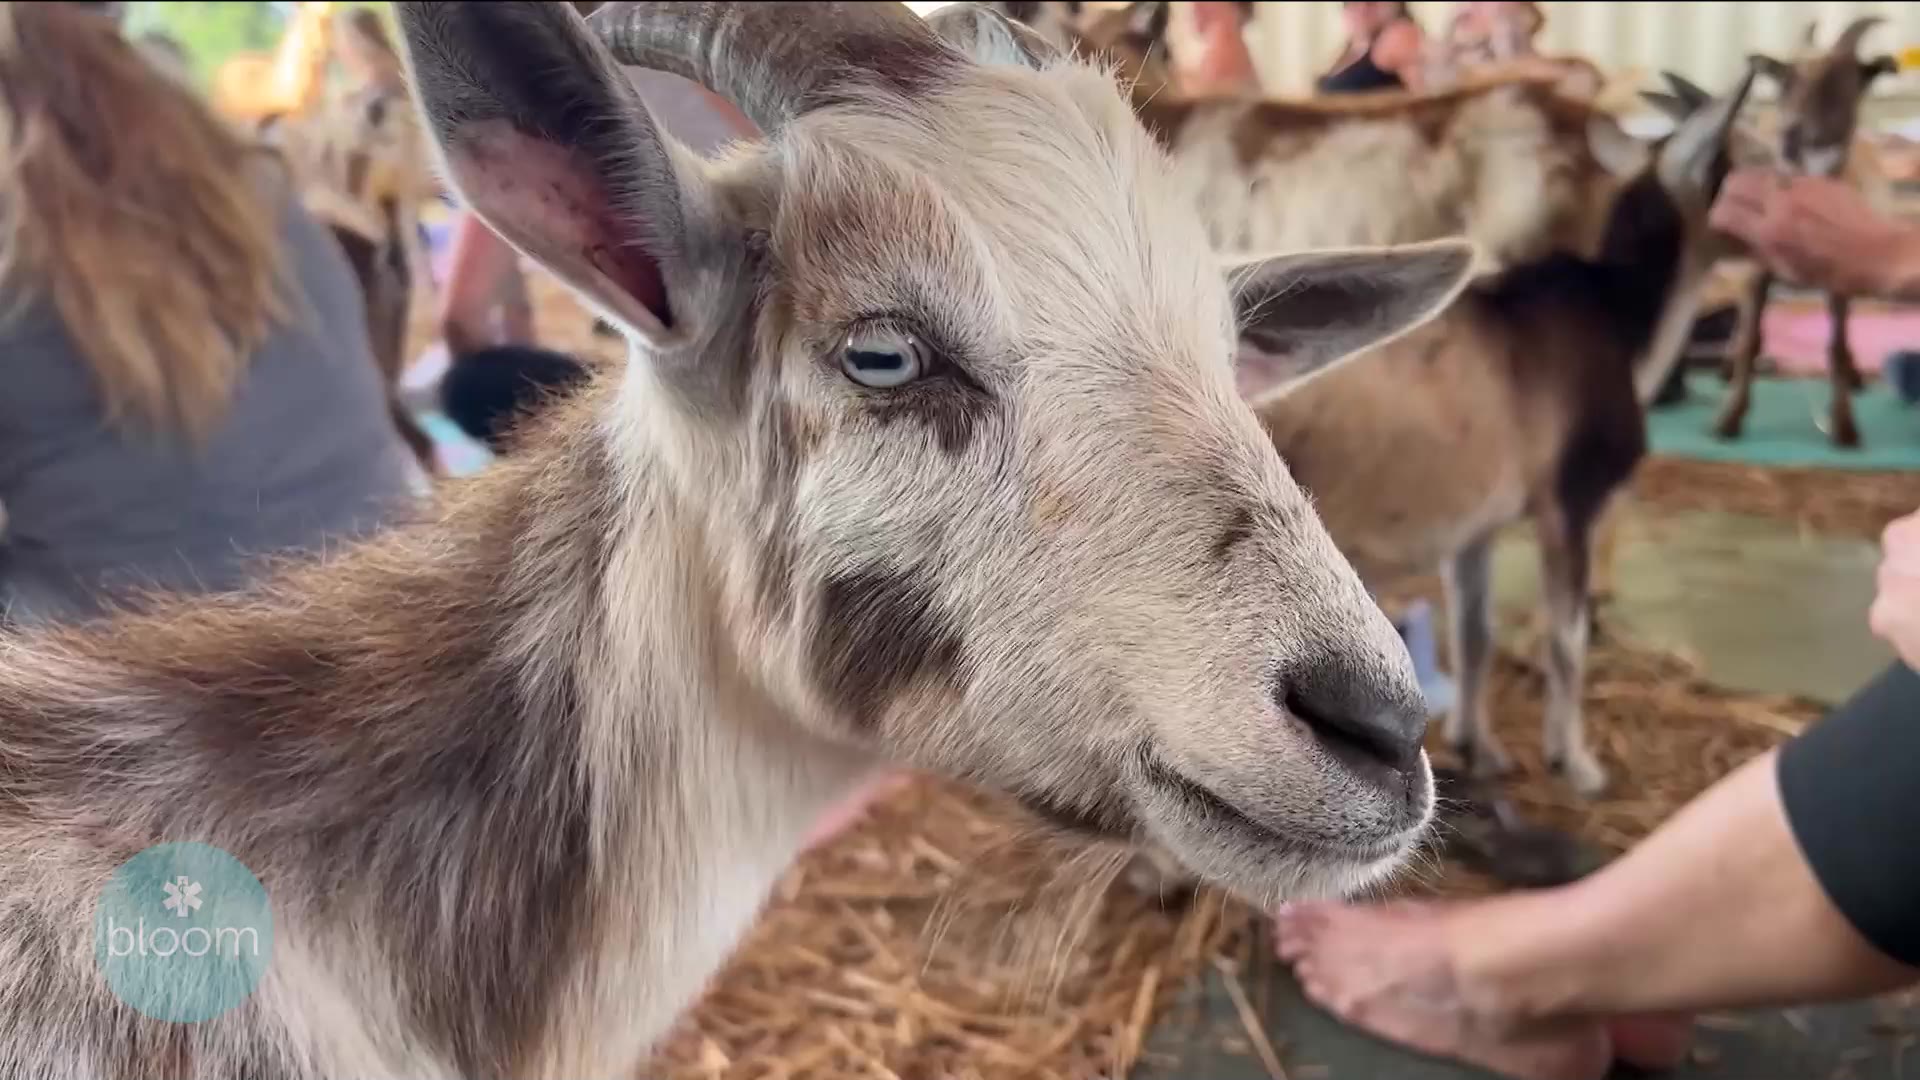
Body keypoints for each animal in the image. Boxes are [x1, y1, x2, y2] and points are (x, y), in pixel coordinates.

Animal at [1703, 17, 1897, 448]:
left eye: (1841, 79)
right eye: (1785, 79)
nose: (1790, 134)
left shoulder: (1841, 277)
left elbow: (1836, 346)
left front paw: (1844, 425)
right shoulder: (1757, 273)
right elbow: (1750, 340)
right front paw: (1729, 418)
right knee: (1744, 328)